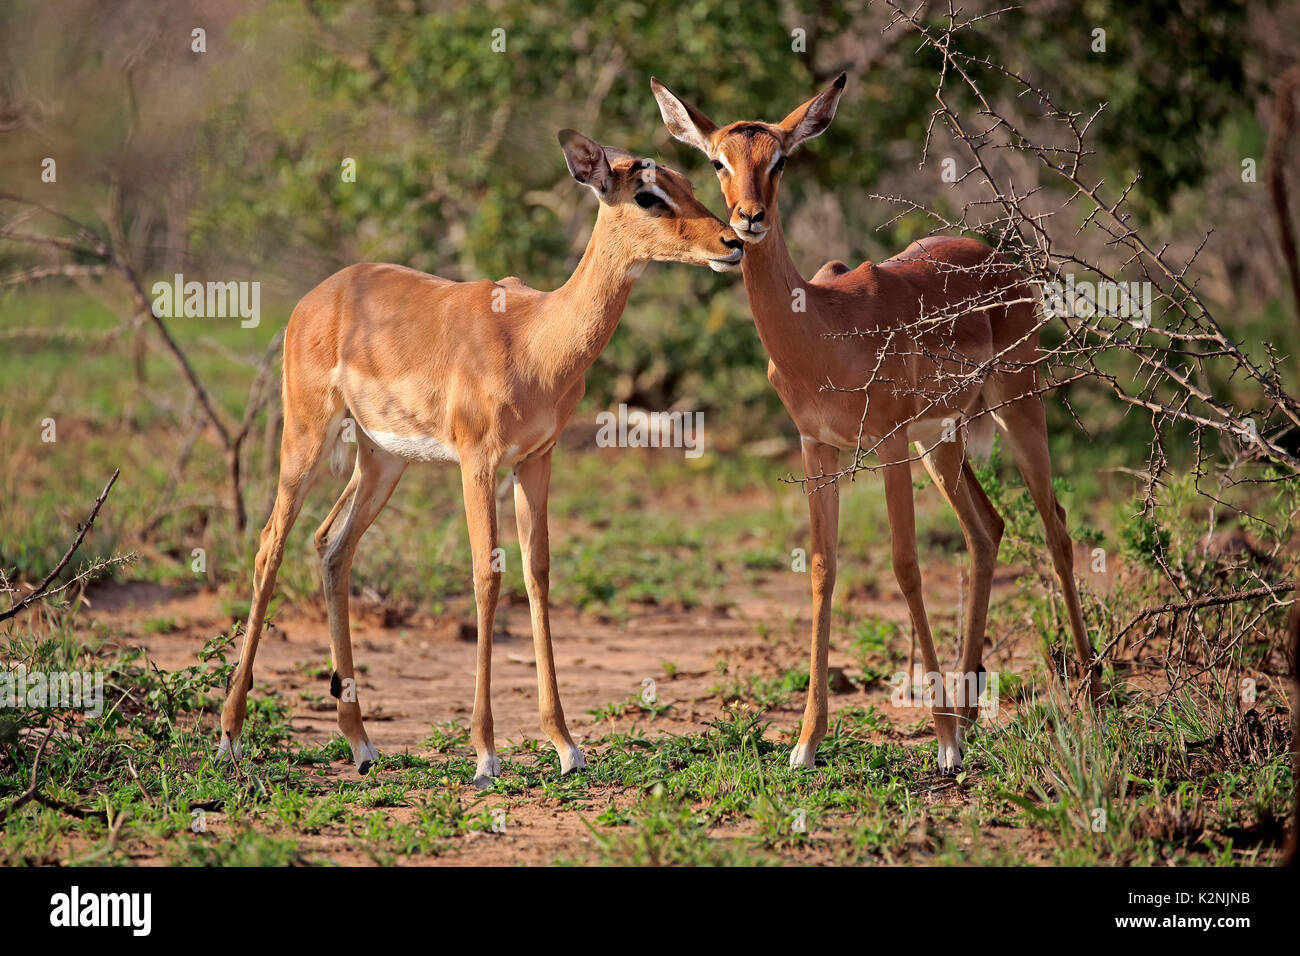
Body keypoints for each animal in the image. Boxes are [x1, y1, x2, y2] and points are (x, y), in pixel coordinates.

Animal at [216, 130, 744, 788]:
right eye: (647, 194)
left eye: (691, 182)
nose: (732, 242)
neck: (535, 338)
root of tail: (321, 295)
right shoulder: (478, 462)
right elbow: (486, 577)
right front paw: (486, 756)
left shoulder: (535, 461)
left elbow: (538, 574)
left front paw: (566, 746)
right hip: (307, 438)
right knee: (270, 546)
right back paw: (230, 737)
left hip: (382, 461)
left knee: (332, 548)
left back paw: (362, 744)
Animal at [651, 74, 1099, 773]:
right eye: (718, 160)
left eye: (780, 160)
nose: (747, 220)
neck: (821, 329)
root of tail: (1001, 260)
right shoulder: (817, 448)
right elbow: (821, 569)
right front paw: (806, 743)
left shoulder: (885, 443)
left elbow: (905, 565)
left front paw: (942, 743)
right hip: (941, 442)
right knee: (987, 529)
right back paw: (972, 712)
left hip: (1017, 407)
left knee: (1055, 528)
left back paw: (1088, 698)